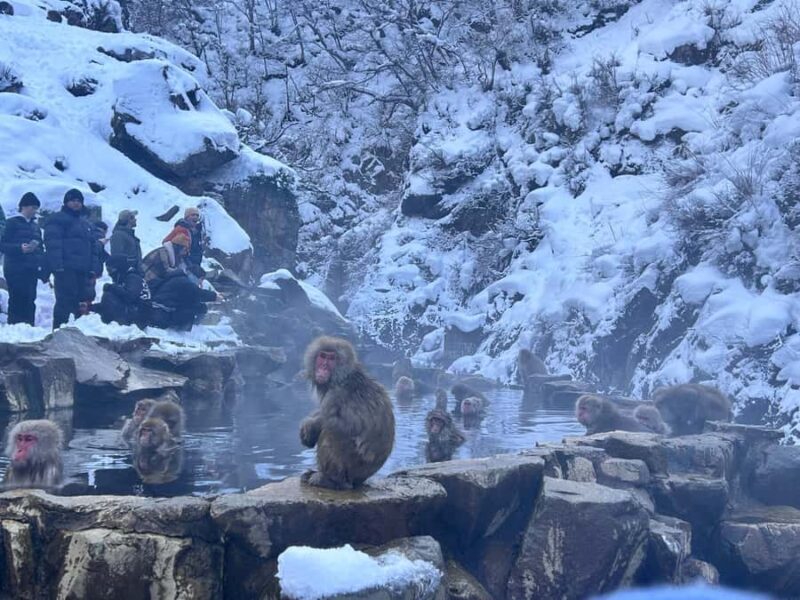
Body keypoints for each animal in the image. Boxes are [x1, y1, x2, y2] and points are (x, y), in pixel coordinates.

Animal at [299, 336, 395, 490]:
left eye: (331, 358)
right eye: (322, 356)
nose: (323, 367)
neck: (342, 376)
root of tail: (362, 479)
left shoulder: (336, 394)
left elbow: (338, 422)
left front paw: (310, 425)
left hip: (355, 468)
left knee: (332, 432)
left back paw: (332, 480)